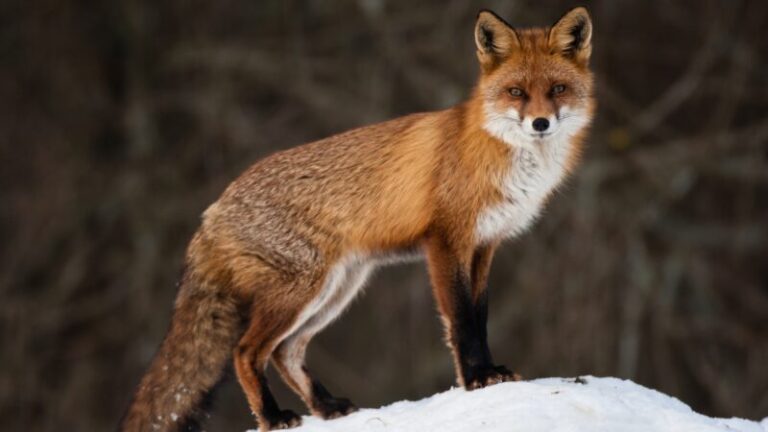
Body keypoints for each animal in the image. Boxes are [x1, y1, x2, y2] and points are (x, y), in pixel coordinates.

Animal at [120, 7, 595, 432]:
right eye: (516, 92)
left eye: (557, 89)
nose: (540, 123)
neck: (504, 156)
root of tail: (213, 208)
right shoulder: (446, 242)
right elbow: (461, 322)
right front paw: (478, 379)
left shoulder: (484, 245)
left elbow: (479, 317)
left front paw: (490, 374)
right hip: (301, 290)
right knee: (246, 352)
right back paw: (272, 417)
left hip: (336, 289)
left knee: (286, 352)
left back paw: (327, 407)